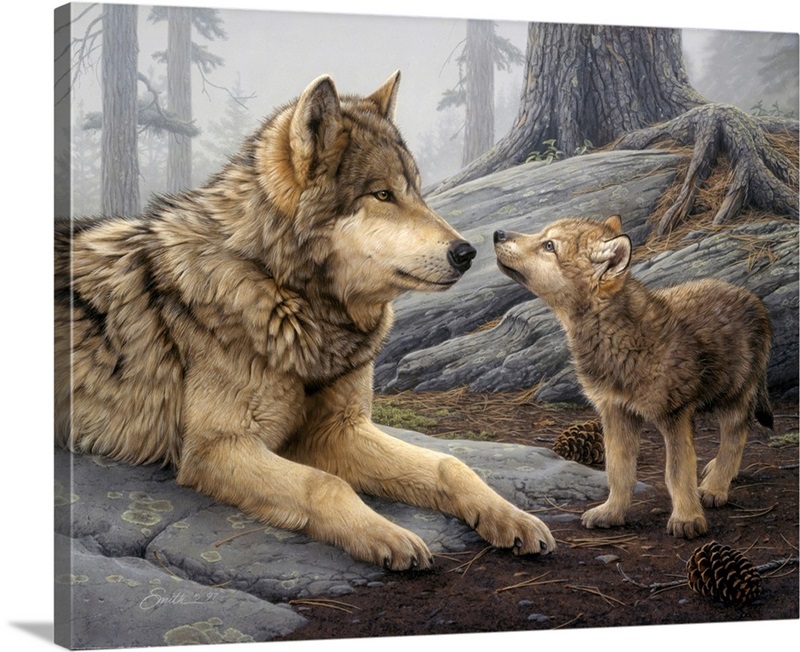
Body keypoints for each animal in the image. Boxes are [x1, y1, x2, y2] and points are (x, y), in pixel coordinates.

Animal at [55, 72, 556, 569]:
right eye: (382, 194)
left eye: (418, 191)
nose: (467, 253)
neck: (286, 296)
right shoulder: (216, 448)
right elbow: (326, 483)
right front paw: (387, 535)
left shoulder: (340, 430)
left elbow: (449, 465)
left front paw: (511, 517)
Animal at [493, 215, 773, 539]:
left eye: (549, 245)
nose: (497, 233)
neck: (619, 336)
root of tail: (752, 297)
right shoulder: (614, 411)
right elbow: (619, 470)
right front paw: (612, 513)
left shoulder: (674, 415)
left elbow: (677, 472)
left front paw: (687, 519)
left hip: (734, 396)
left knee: (735, 438)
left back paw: (715, 487)